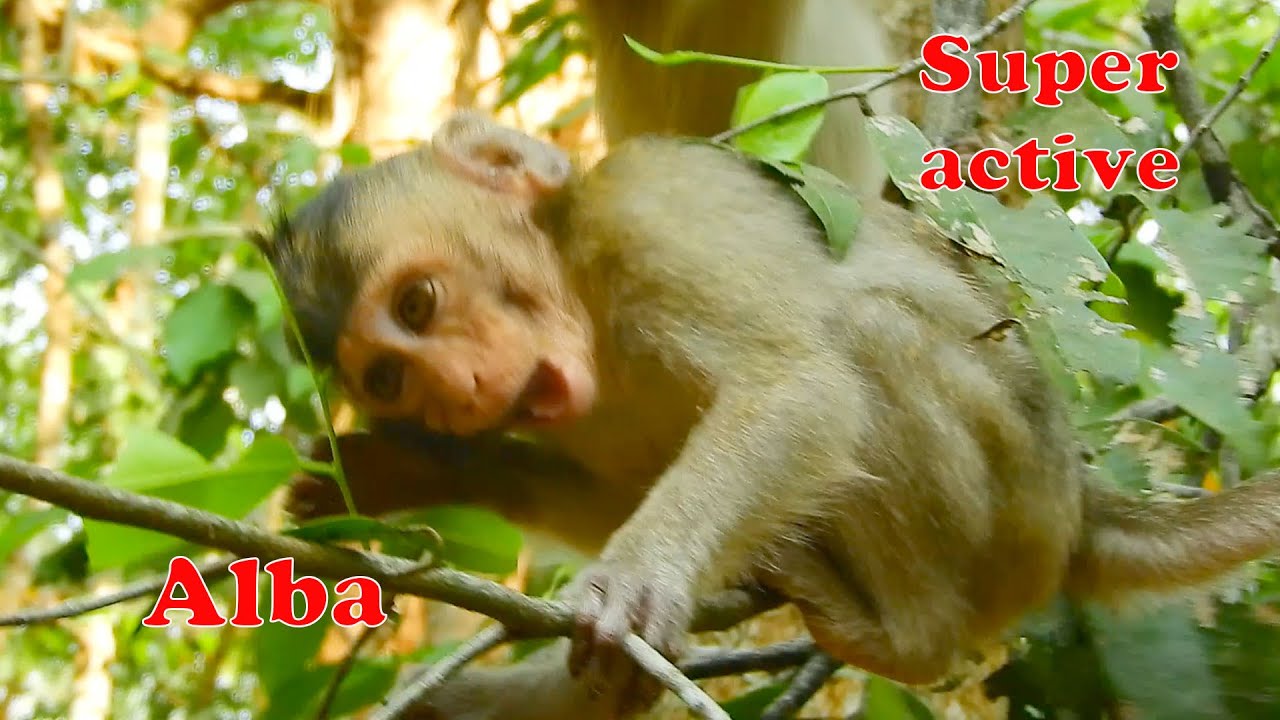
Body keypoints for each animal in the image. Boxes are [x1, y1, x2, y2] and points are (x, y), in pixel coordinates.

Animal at [261, 112, 1280, 719]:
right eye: (391, 379)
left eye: (419, 303)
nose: (460, 391)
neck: (579, 277)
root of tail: (1078, 507)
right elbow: (613, 493)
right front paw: (406, 469)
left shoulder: (655, 212)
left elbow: (799, 387)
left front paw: (633, 582)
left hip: (1016, 510)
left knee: (865, 334)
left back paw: (911, 638)